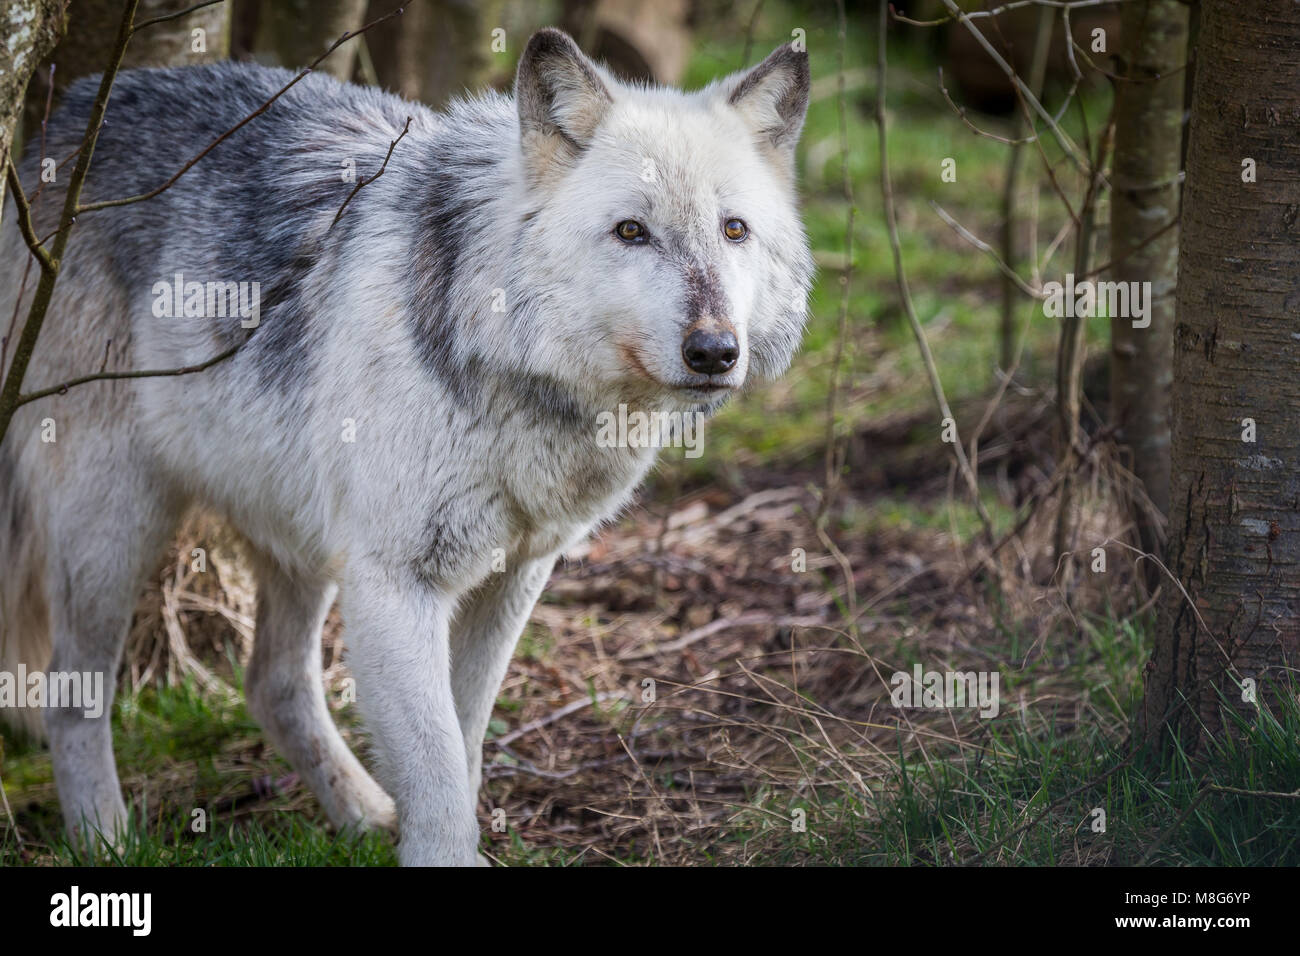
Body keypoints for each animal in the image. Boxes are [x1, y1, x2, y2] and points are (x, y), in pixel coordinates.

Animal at [0, 28, 812, 865]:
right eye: (631, 232)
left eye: (734, 230)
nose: (714, 351)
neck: (505, 357)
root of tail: (70, 116)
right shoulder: (398, 582)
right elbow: (437, 767)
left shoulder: (514, 576)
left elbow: (464, 741)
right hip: (113, 528)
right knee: (68, 689)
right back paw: (104, 843)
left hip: (299, 541)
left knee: (272, 682)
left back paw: (361, 812)